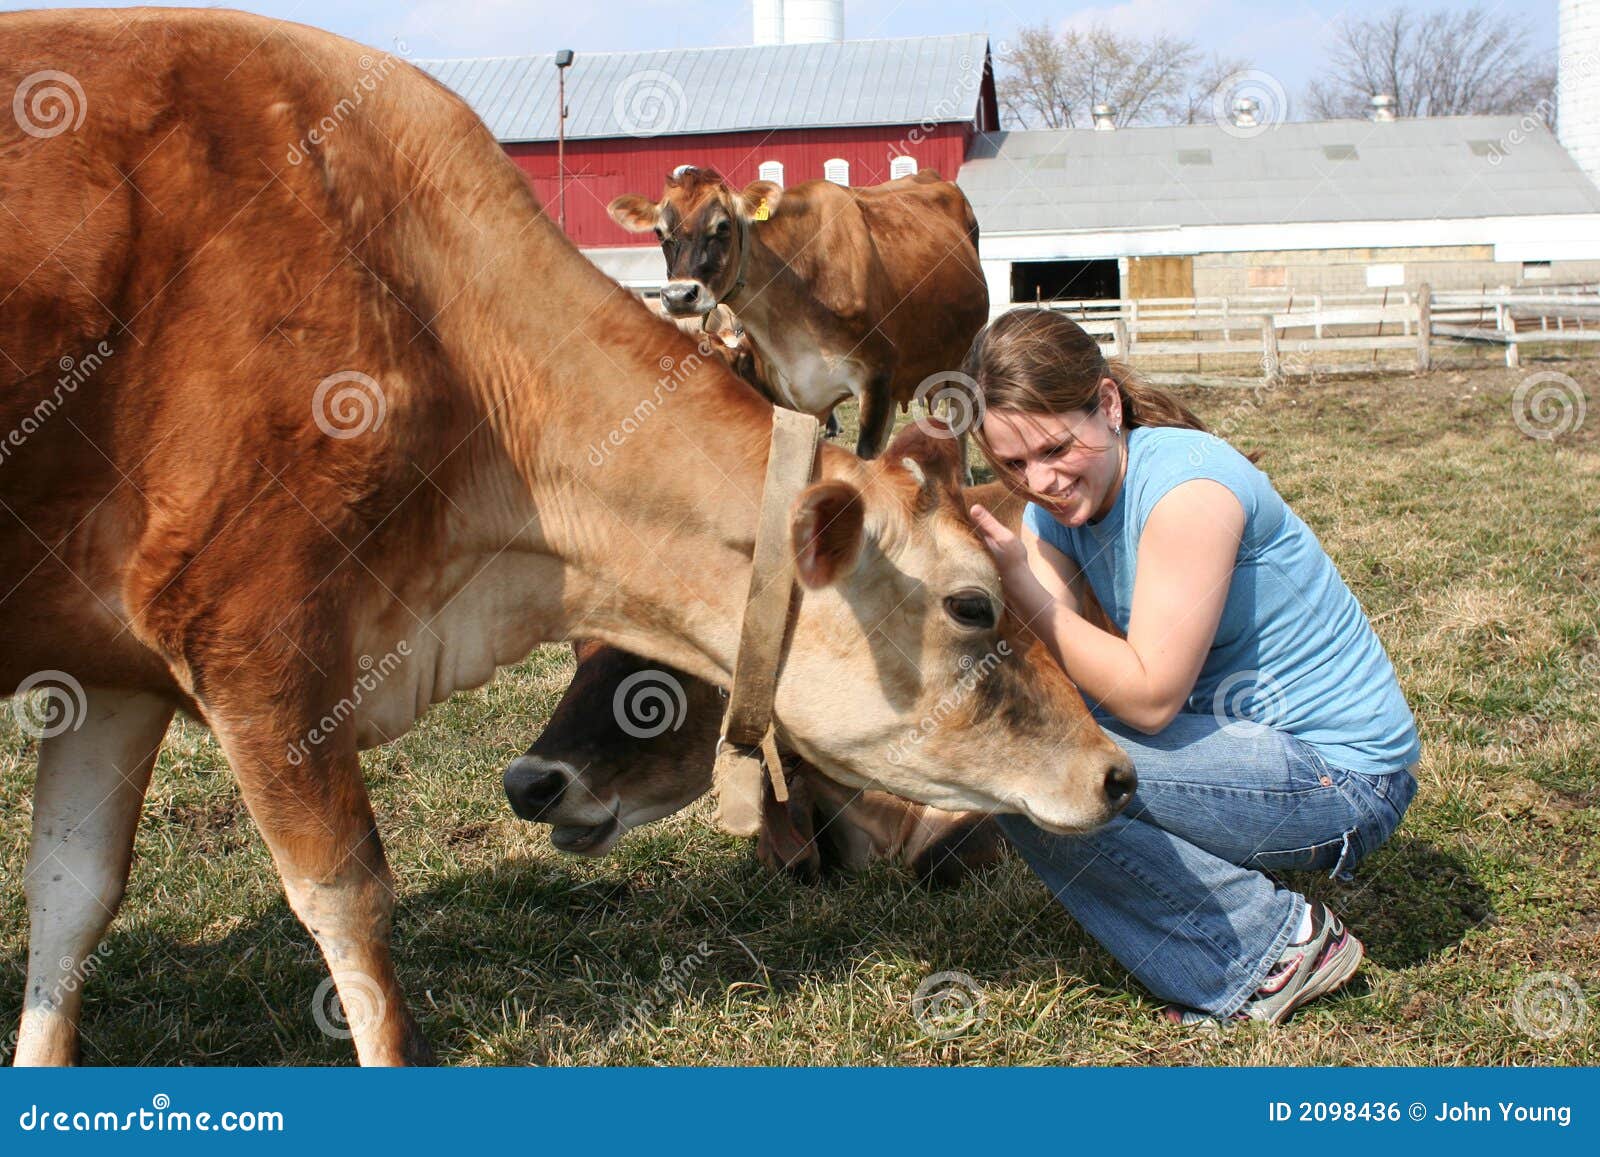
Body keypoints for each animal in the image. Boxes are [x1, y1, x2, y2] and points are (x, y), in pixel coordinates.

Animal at [608, 167, 989, 462]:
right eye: (660, 232)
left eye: (723, 226)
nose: (679, 296)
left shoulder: (877, 378)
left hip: (960, 359)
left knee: (958, 420)